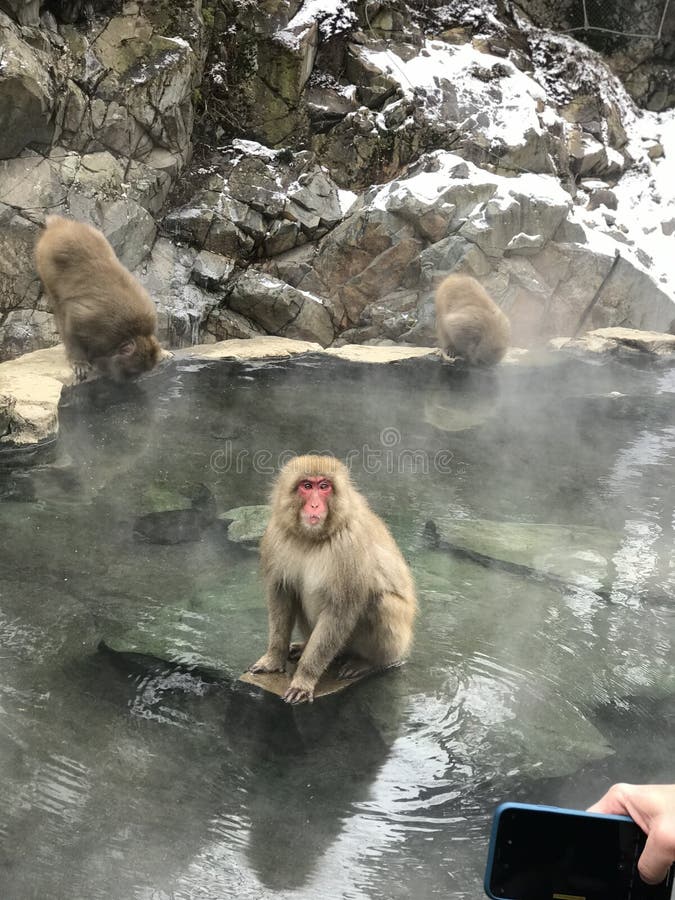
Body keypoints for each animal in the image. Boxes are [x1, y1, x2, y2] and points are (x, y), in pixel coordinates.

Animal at [35, 215, 161, 382]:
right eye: (133, 371)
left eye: (140, 372)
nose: (133, 380)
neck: (132, 332)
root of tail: (61, 224)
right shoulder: (89, 319)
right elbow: (71, 328)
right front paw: (79, 361)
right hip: (46, 262)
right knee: (59, 304)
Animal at [249, 455, 417, 704]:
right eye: (307, 486)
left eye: (324, 486)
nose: (315, 505)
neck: (312, 539)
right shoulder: (276, 535)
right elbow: (282, 595)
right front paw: (274, 658)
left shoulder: (349, 547)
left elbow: (340, 610)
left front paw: (304, 679)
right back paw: (304, 646)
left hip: (396, 643)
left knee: (382, 603)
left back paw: (367, 662)